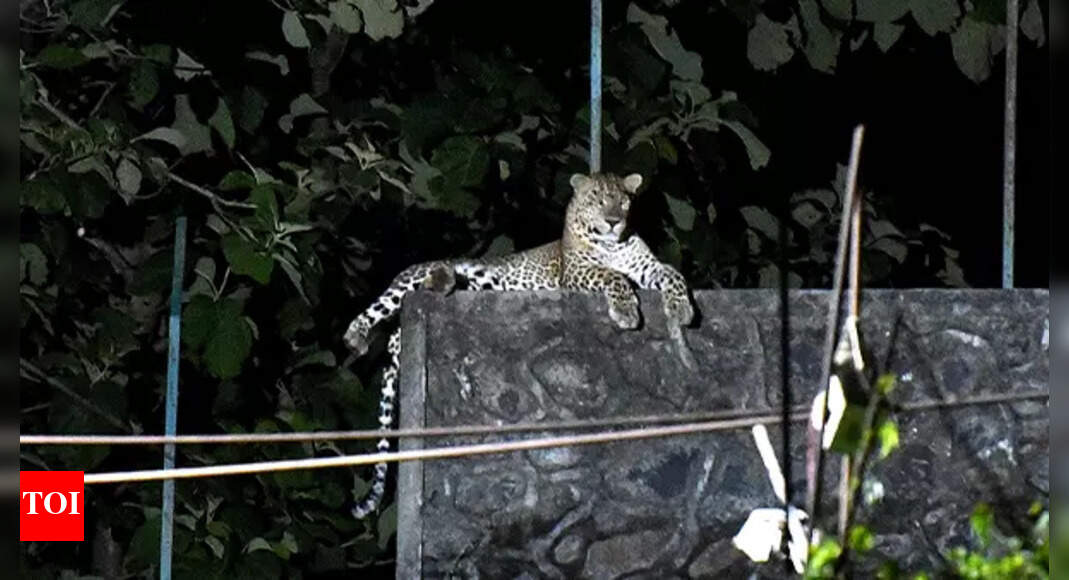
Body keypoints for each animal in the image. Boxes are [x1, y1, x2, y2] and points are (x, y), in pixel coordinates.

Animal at [344, 172, 696, 519]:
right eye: (596, 199)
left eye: (622, 201)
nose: (612, 221)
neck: (612, 246)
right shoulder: (580, 273)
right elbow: (613, 277)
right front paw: (625, 310)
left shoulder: (646, 266)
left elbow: (672, 274)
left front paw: (682, 307)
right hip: (413, 281)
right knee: (382, 306)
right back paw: (359, 334)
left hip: (482, 283)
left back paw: (442, 283)